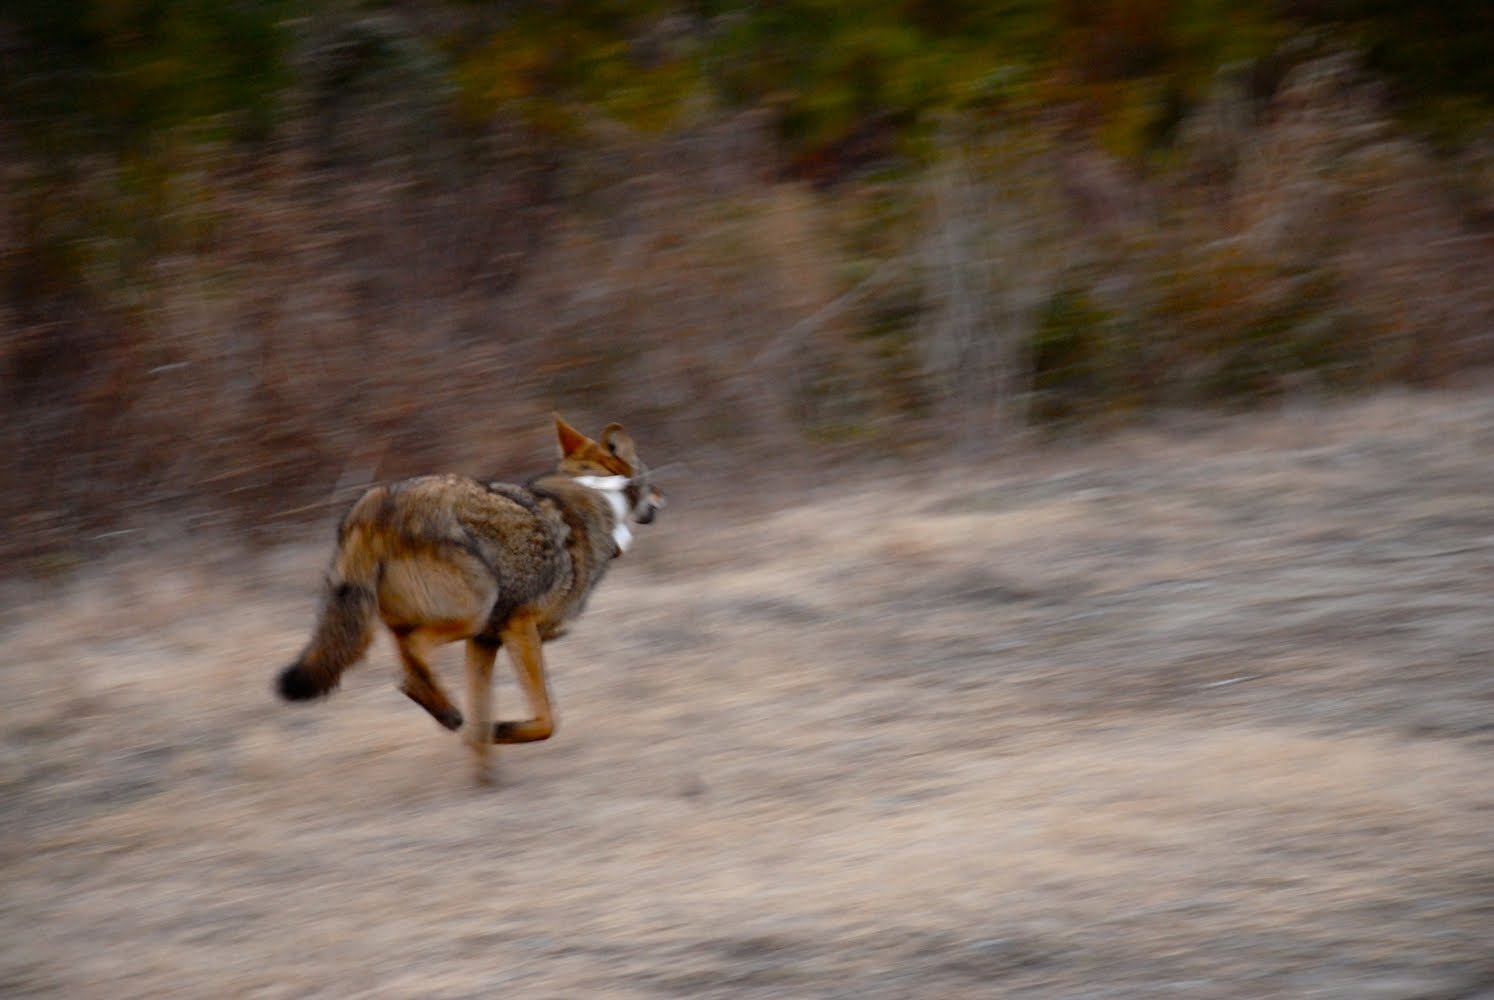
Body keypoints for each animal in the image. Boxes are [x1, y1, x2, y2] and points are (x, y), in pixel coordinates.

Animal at [275, 416, 664, 783]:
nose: (662, 494)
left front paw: (485, 776)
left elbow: (482, 717)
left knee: (407, 665)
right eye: (646, 472)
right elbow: (547, 720)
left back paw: (445, 711)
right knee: (413, 663)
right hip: (476, 608)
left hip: (421, 622)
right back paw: (447, 711)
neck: (600, 496)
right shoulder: (520, 630)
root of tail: (379, 503)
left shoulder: (484, 642)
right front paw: (499, 732)